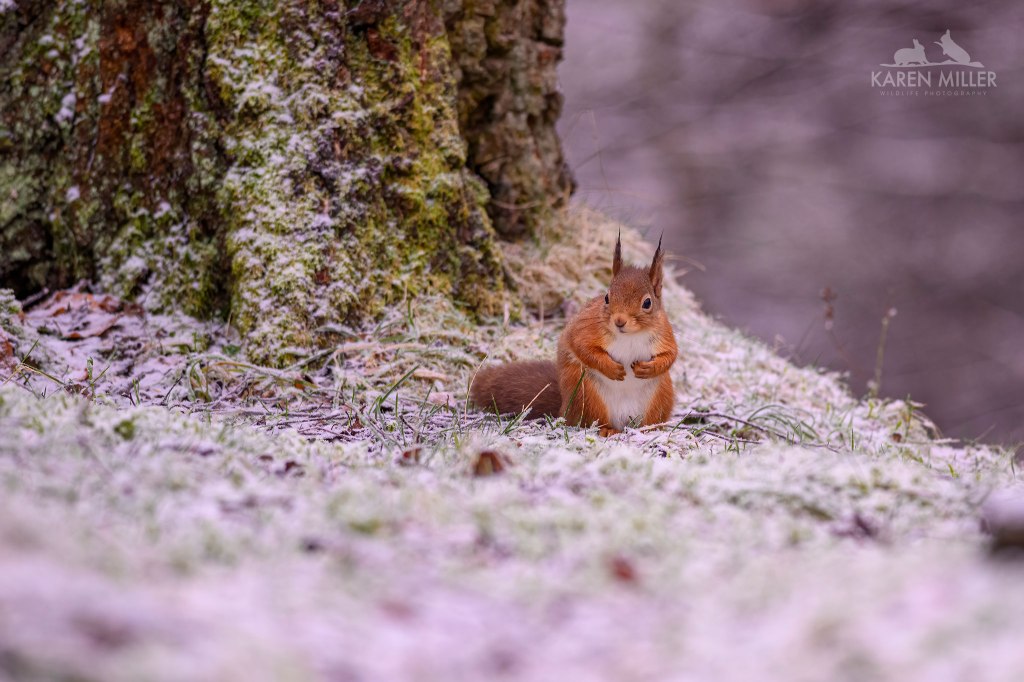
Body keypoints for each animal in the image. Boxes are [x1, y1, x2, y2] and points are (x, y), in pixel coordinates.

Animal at [471, 234, 677, 437]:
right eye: (606, 297)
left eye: (647, 303)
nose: (619, 321)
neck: (629, 336)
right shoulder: (585, 329)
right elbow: (581, 346)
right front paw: (612, 368)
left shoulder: (664, 333)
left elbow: (670, 355)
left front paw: (648, 368)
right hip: (586, 393)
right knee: (593, 421)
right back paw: (607, 429)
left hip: (660, 396)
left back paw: (650, 428)